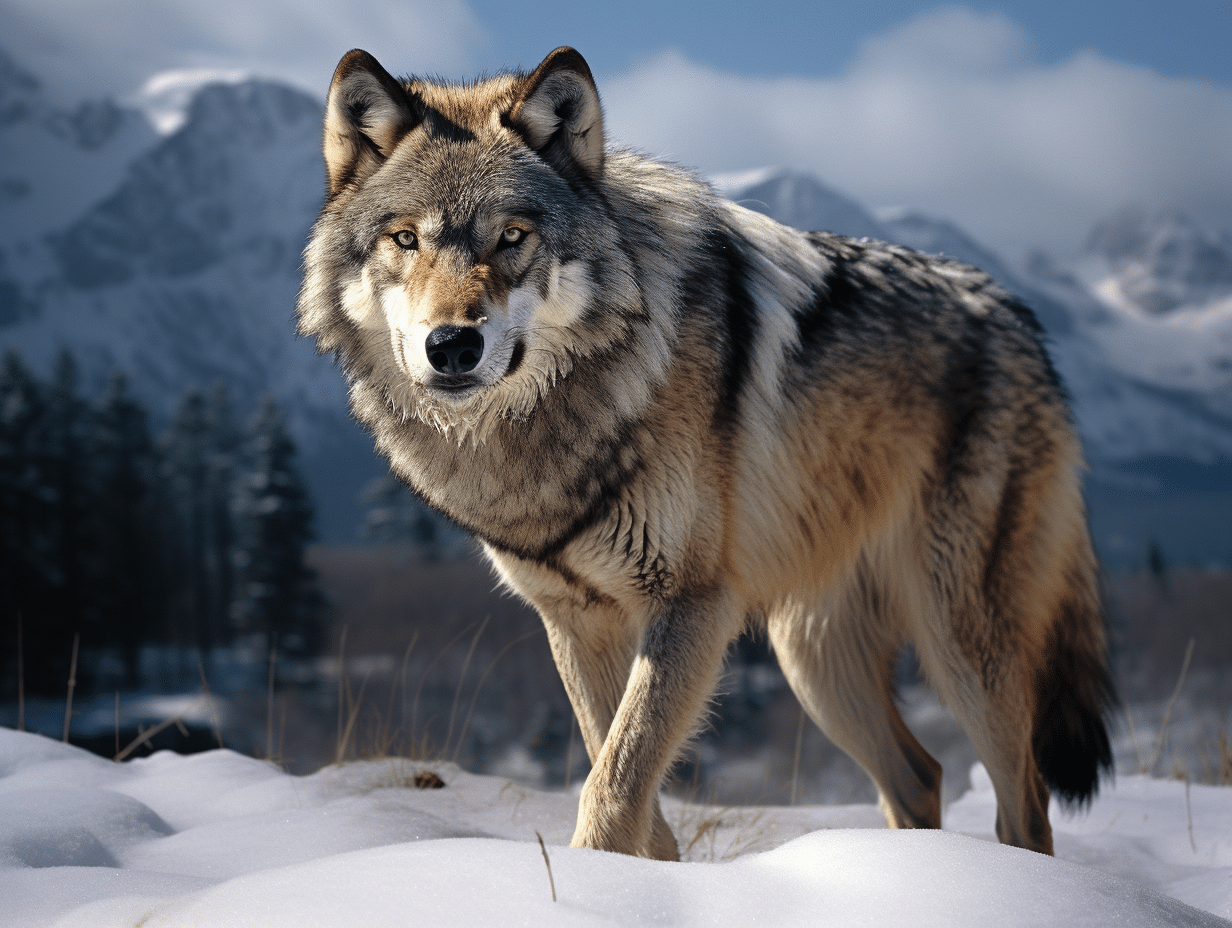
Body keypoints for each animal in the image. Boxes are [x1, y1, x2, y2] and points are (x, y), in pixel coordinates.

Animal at [298, 46, 1116, 860]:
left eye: (512, 236)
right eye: (406, 239)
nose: (451, 345)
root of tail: (1016, 314)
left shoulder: (692, 604)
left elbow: (613, 785)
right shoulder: (576, 622)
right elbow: (630, 787)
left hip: (960, 641)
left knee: (1025, 805)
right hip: (813, 658)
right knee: (922, 776)